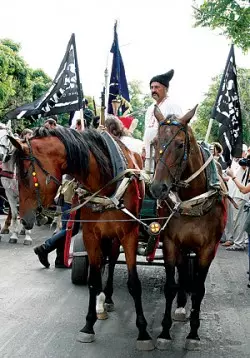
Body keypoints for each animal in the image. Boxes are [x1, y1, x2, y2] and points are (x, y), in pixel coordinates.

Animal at [9, 127, 154, 352]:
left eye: (24, 175)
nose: (24, 220)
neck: (105, 182)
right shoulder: (91, 236)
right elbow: (93, 281)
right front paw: (88, 325)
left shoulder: (129, 235)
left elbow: (134, 283)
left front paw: (143, 331)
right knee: (108, 261)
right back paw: (105, 300)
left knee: (113, 260)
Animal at [149, 105, 228, 352]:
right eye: (155, 142)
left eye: (180, 145)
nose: (157, 188)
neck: (193, 200)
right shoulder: (171, 243)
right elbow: (170, 285)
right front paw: (164, 332)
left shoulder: (208, 249)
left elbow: (199, 290)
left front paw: (193, 334)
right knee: (183, 274)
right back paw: (181, 306)